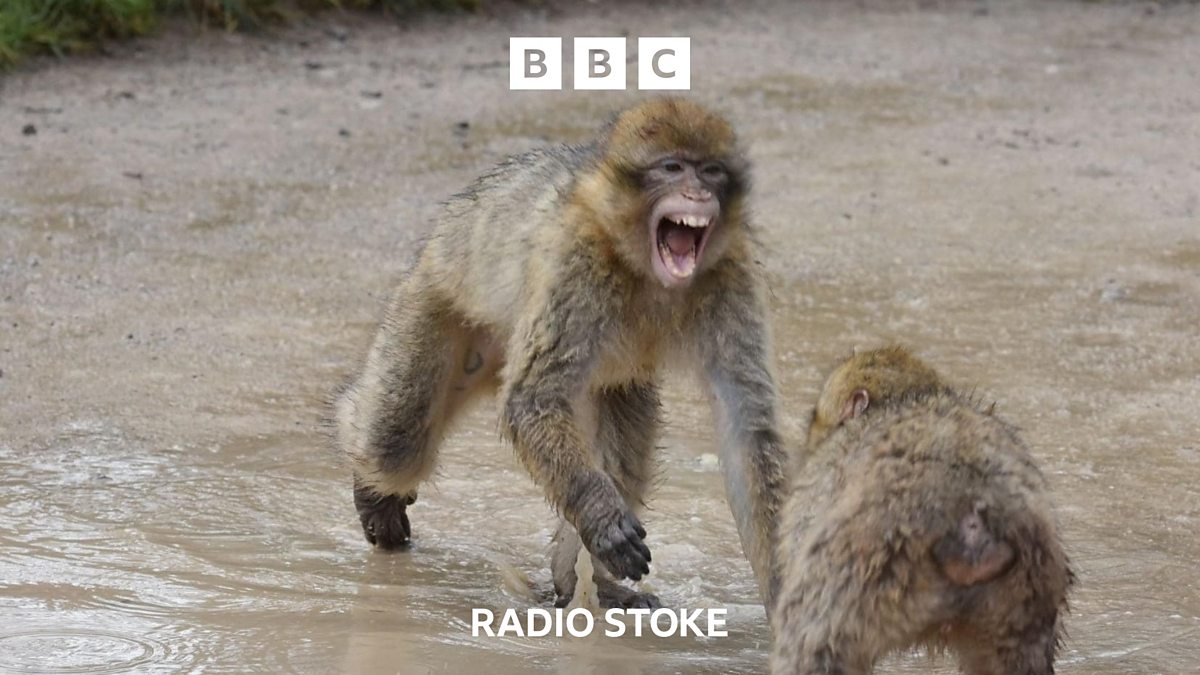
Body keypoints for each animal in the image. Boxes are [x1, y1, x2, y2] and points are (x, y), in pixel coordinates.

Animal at [335, 98, 786, 611]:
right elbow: (532, 399)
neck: (643, 268)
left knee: (623, 437)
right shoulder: (576, 263)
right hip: (436, 300)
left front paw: (787, 586)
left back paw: (583, 584)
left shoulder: (732, 277)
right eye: (672, 168)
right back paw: (371, 484)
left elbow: (748, 432)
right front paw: (601, 518)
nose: (697, 195)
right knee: (397, 440)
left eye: (711, 172)